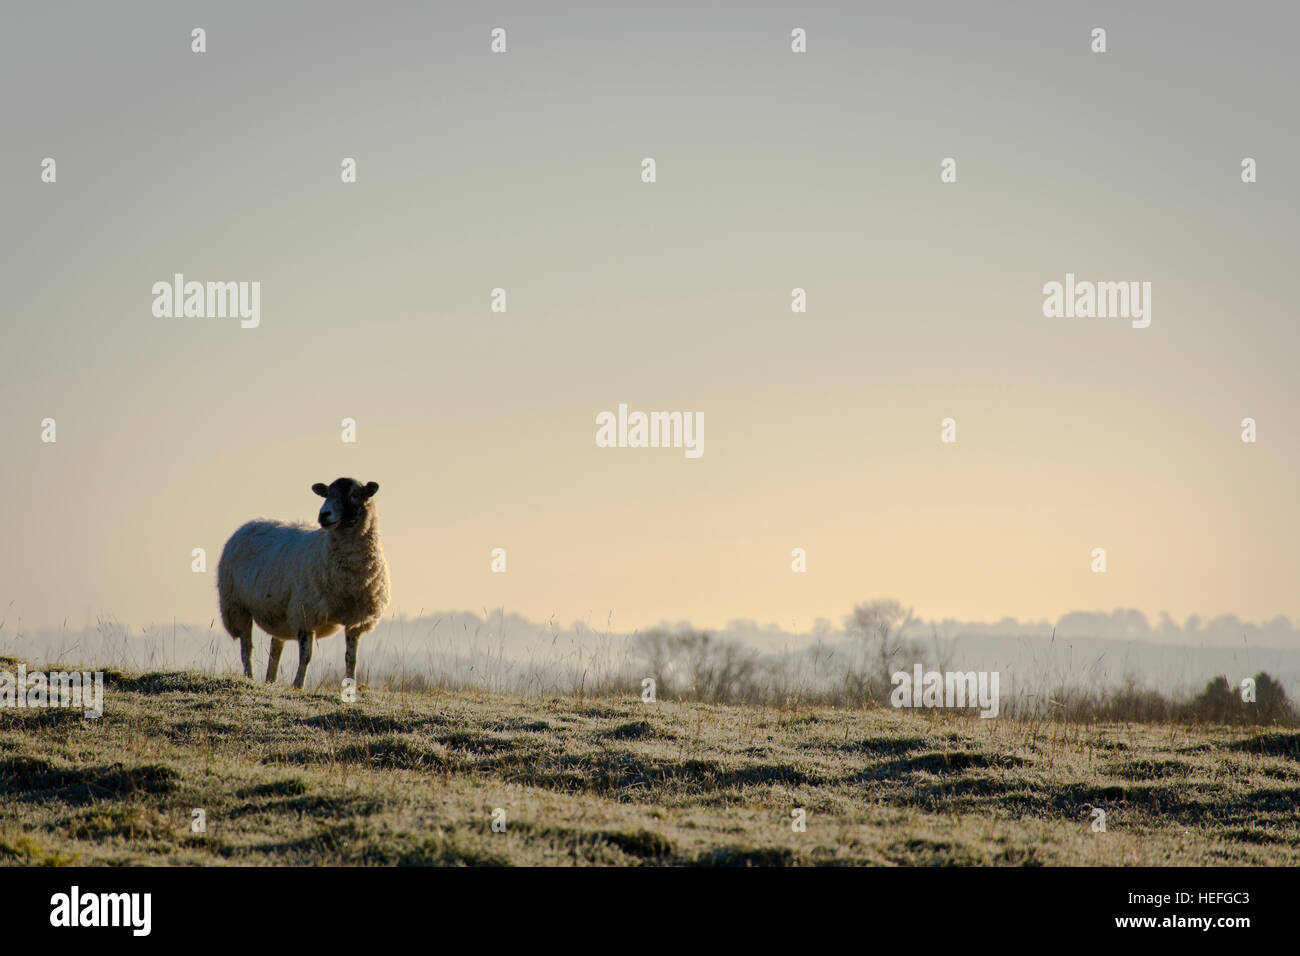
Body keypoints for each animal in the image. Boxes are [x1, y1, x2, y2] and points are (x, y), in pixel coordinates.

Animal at [217, 478, 389, 689]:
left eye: (355, 494)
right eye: (327, 494)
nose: (324, 514)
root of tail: (249, 524)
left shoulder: (356, 620)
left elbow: (351, 658)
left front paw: (350, 685)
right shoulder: (305, 614)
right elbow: (306, 656)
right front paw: (298, 684)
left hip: (278, 612)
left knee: (275, 648)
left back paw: (270, 680)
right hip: (236, 606)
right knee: (246, 648)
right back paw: (249, 676)